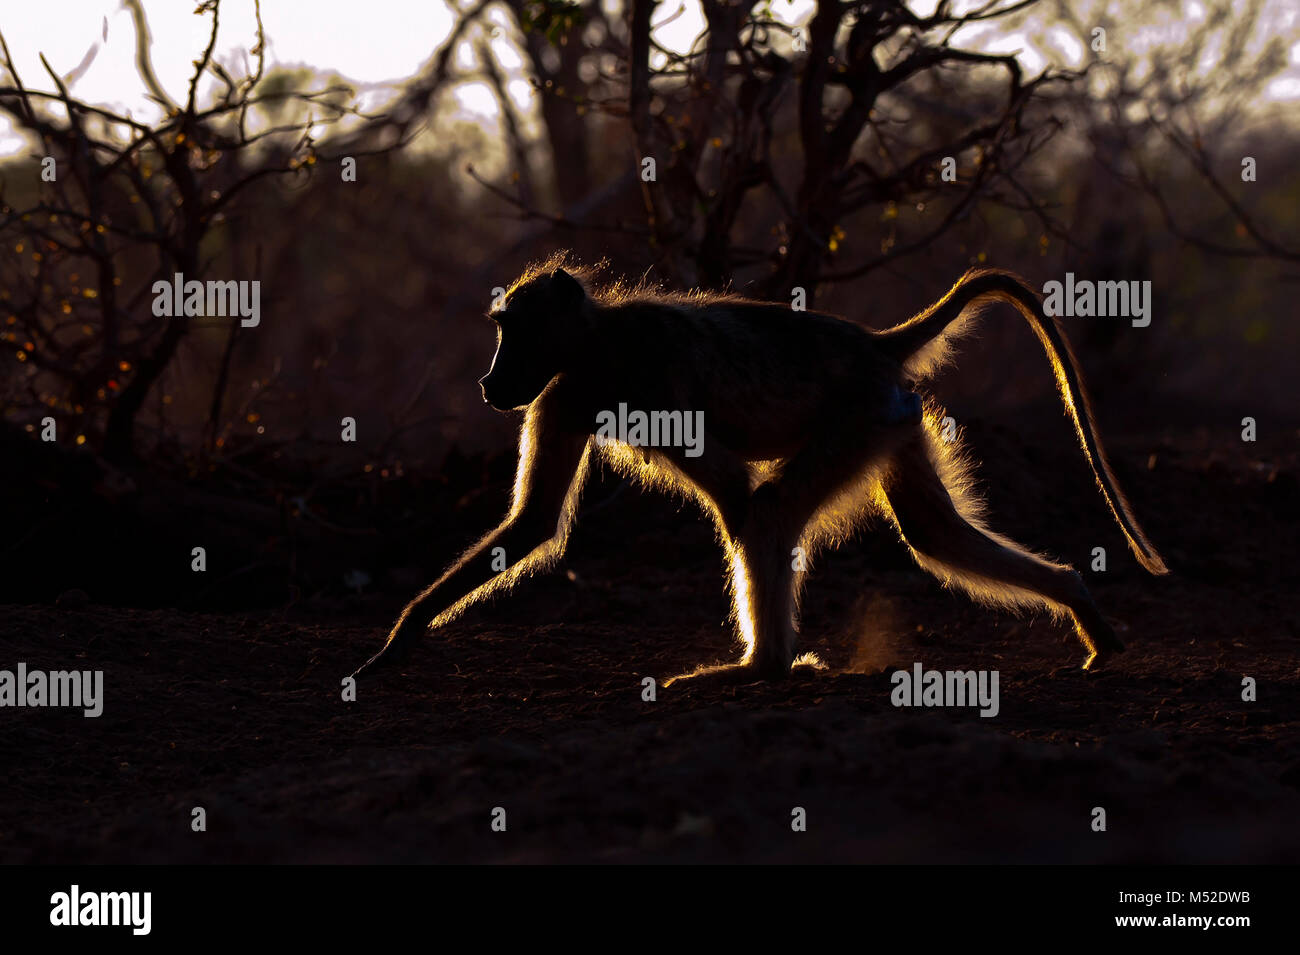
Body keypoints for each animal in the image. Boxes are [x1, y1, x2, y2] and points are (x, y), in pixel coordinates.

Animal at [352, 255, 1167, 685]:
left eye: (511, 331)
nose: (489, 383)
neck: (596, 341)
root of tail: (875, 341)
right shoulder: (561, 397)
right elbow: (530, 525)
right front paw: (401, 637)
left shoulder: (643, 382)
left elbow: (741, 496)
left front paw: (396, 639)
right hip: (891, 421)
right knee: (933, 534)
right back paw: (1079, 601)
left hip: (860, 416)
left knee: (772, 511)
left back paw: (762, 667)